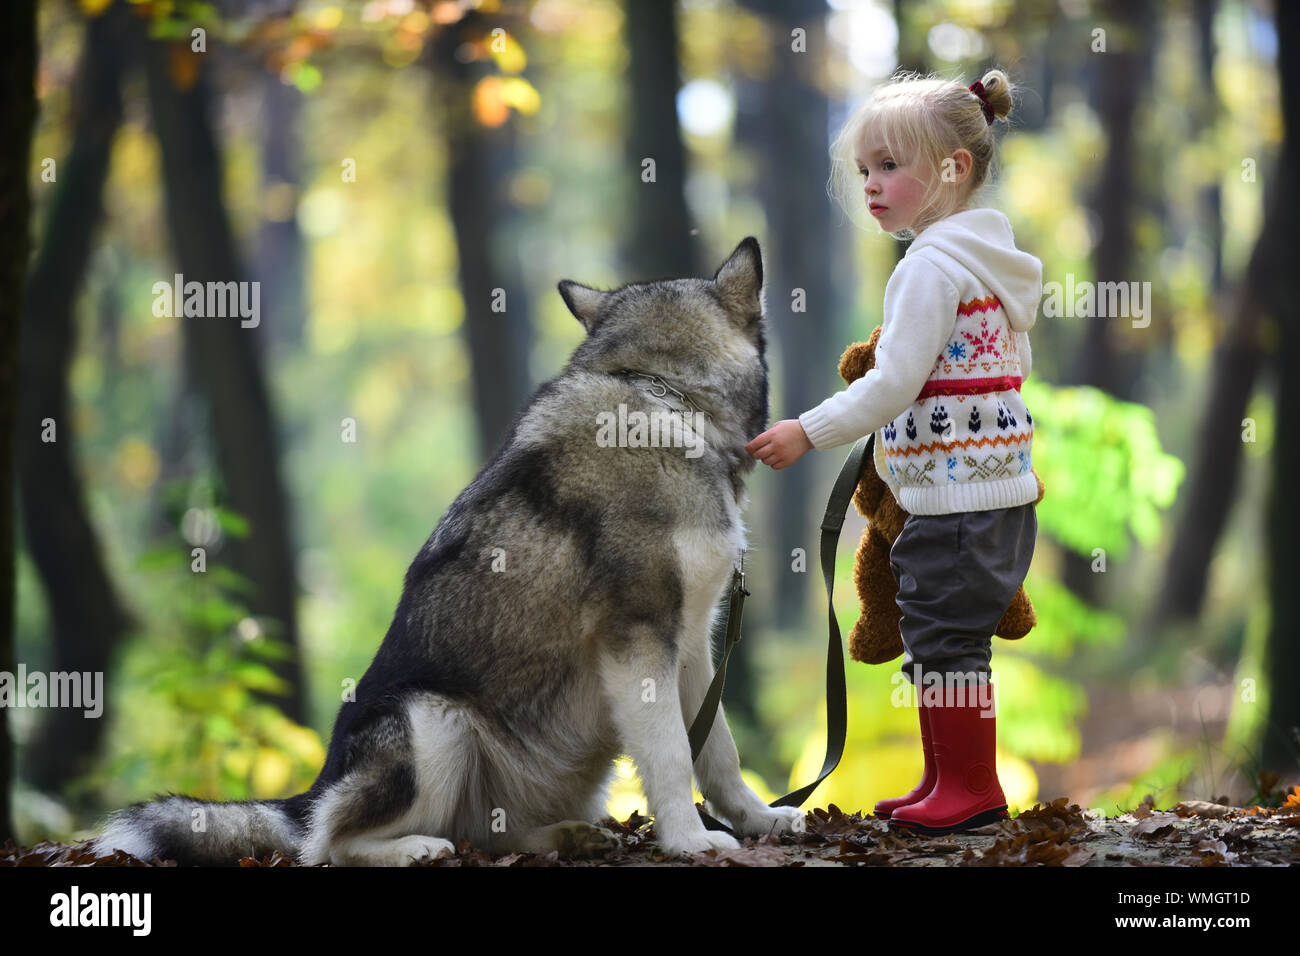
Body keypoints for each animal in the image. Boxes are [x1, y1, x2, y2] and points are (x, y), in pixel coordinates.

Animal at [92, 236, 804, 865]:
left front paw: (757, 818)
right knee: (329, 845)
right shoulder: (639, 638)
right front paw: (689, 839)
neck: (665, 397)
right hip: (435, 720)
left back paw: (566, 835)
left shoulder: (692, 642)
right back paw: (411, 848)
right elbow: (673, 754)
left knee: (482, 833)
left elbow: (719, 750)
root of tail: (314, 788)